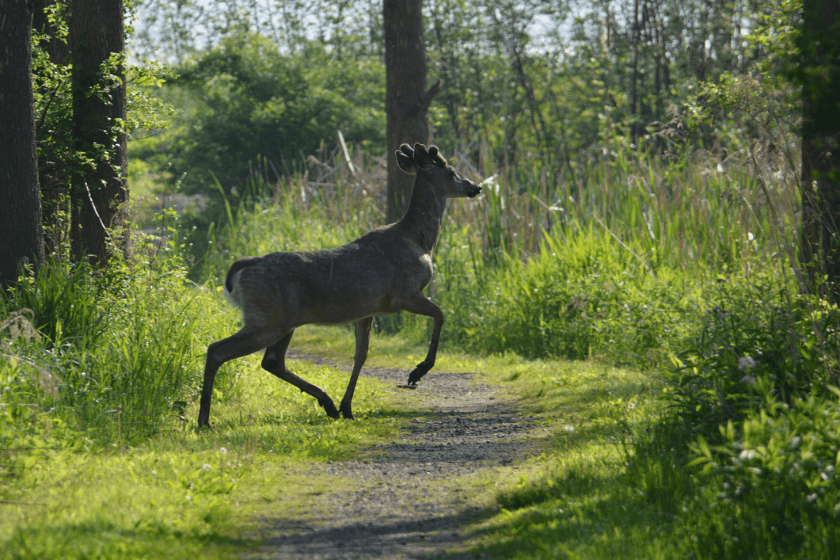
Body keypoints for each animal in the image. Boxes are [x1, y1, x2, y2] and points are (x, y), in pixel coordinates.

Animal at [197, 143, 482, 426]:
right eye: (452, 171)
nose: (476, 187)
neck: (420, 240)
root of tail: (241, 268)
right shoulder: (404, 293)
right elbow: (440, 314)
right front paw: (418, 371)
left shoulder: (368, 310)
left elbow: (361, 355)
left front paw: (347, 407)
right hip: (269, 318)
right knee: (217, 350)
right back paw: (204, 421)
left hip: (284, 321)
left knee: (272, 361)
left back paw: (329, 404)